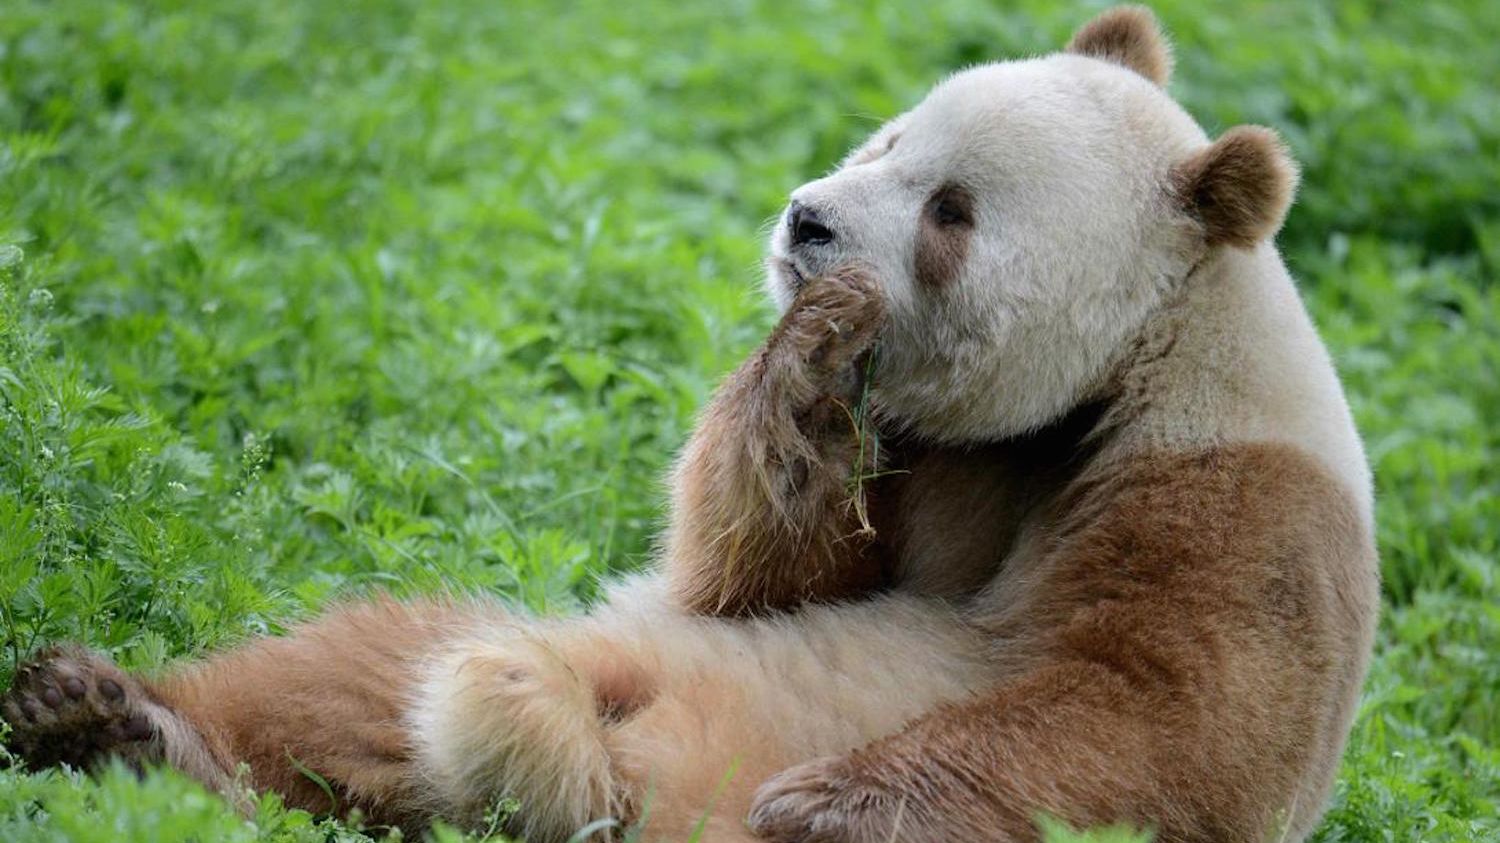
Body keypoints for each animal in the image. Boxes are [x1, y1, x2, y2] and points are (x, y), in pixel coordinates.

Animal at [2, 7, 1378, 843]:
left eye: (953, 210)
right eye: (889, 135)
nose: (809, 223)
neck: (1110, 374)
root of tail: (604, 789)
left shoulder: (1236, 502)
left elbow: (1160, 725)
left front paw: (826, 805)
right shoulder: (934, 455)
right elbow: (753, 578)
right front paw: (809, 359)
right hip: (598, 650)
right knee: (360, 669)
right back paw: (116, 726)